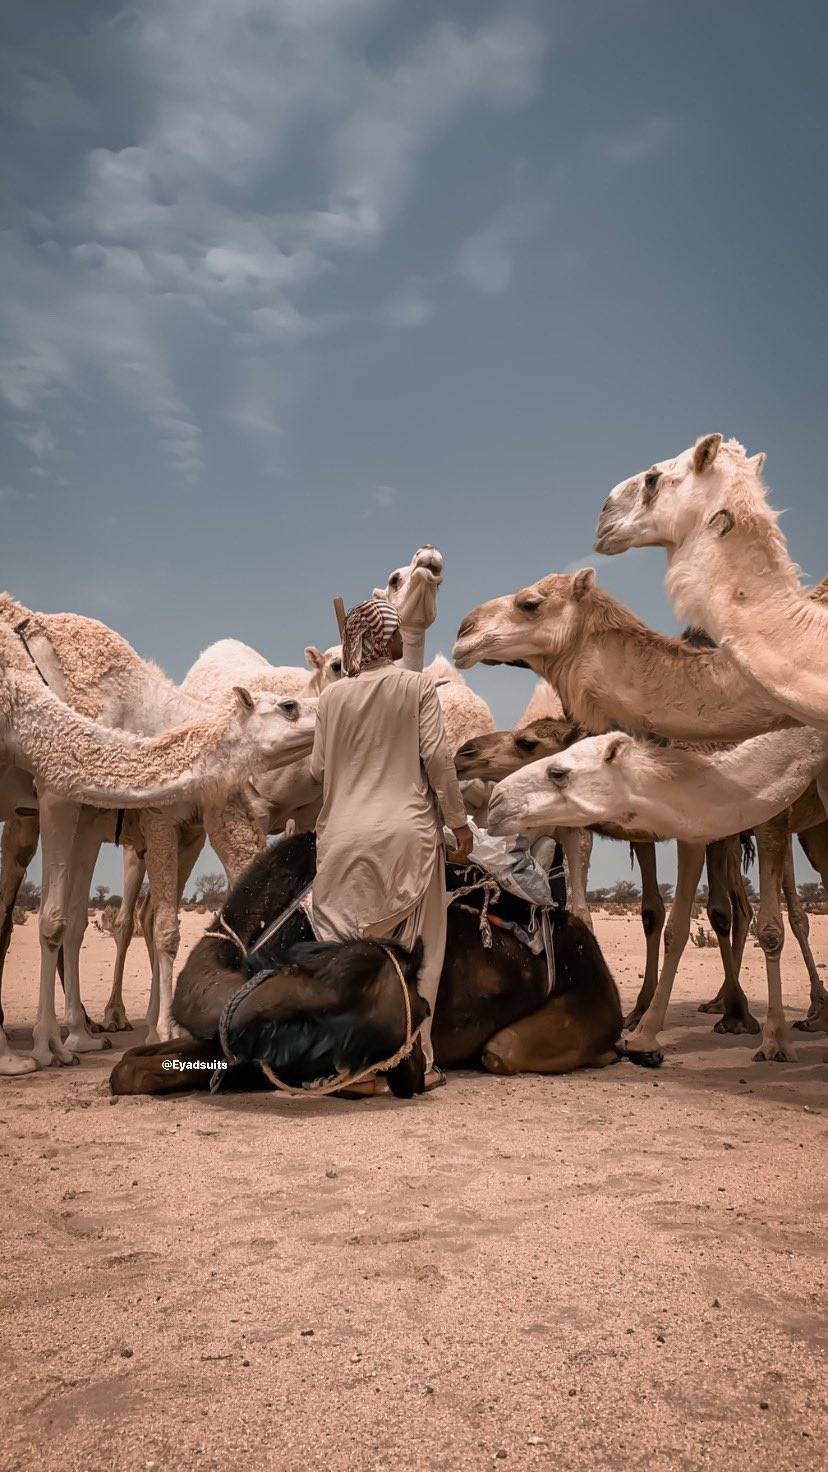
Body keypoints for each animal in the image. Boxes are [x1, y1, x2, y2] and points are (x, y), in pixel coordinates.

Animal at [486, 727, 828, 1061]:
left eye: (558, 772)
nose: (495, 800)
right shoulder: (695, 826)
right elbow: (672, 924)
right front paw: (643, 1031)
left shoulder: (771, 818)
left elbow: (768, 927)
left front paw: (774, 1040)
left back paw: (808, 1014)